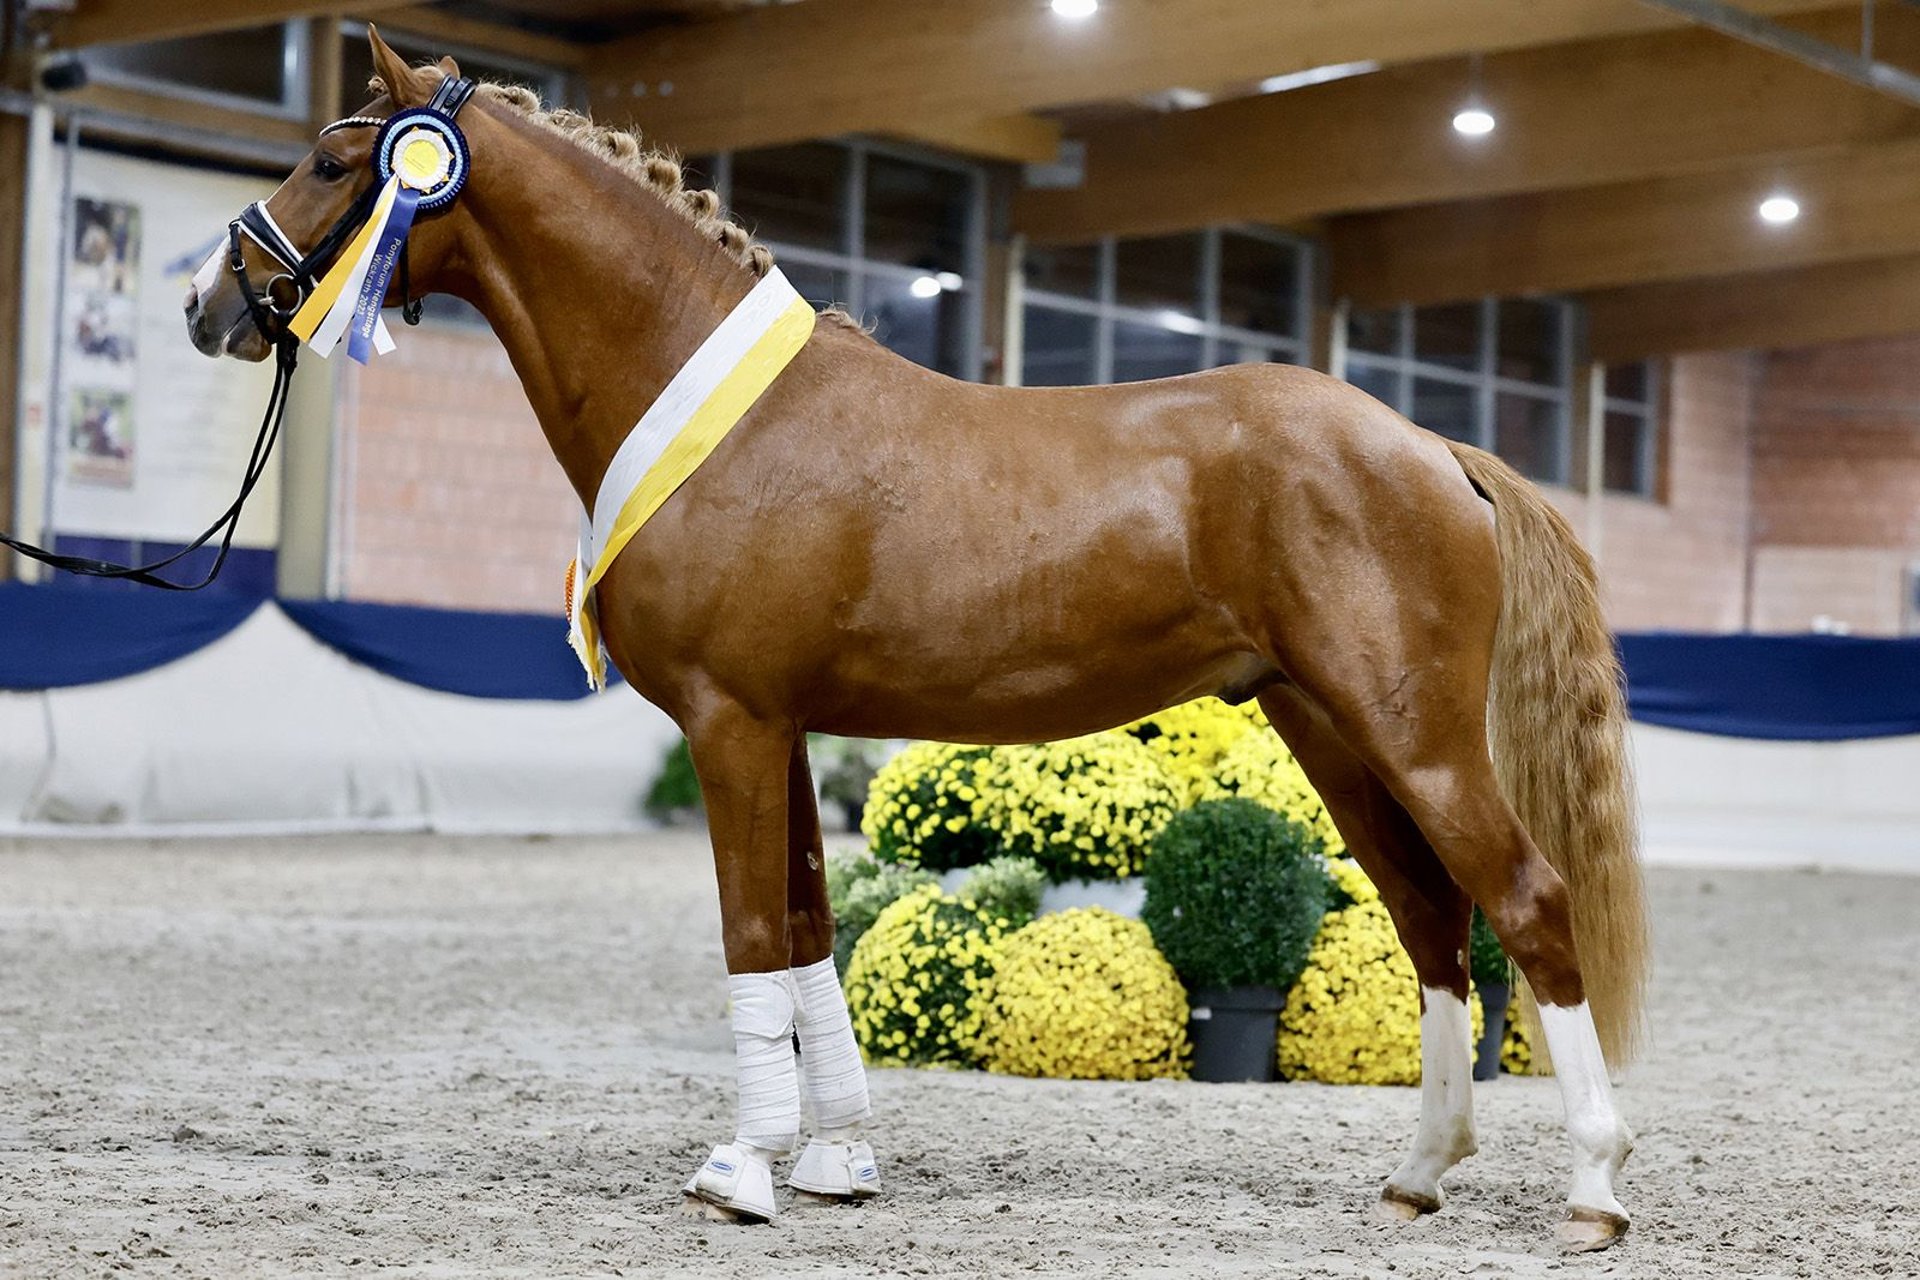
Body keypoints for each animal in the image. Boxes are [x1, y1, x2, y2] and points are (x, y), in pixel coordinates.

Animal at [184, 29, 1649, 1252]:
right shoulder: (782, 731)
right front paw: (836, 1161)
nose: (211, 299)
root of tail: (1435, 448)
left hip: (1414, 735)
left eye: (333, 160)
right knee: (1432, 921)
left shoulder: (731, 724)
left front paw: (744, 1173)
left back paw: (1590, 1191)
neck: (724, 416)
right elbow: (806, 933)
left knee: (1527, 903)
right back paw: (1417, 1173)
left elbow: (751, 936)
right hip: (1334, 732)